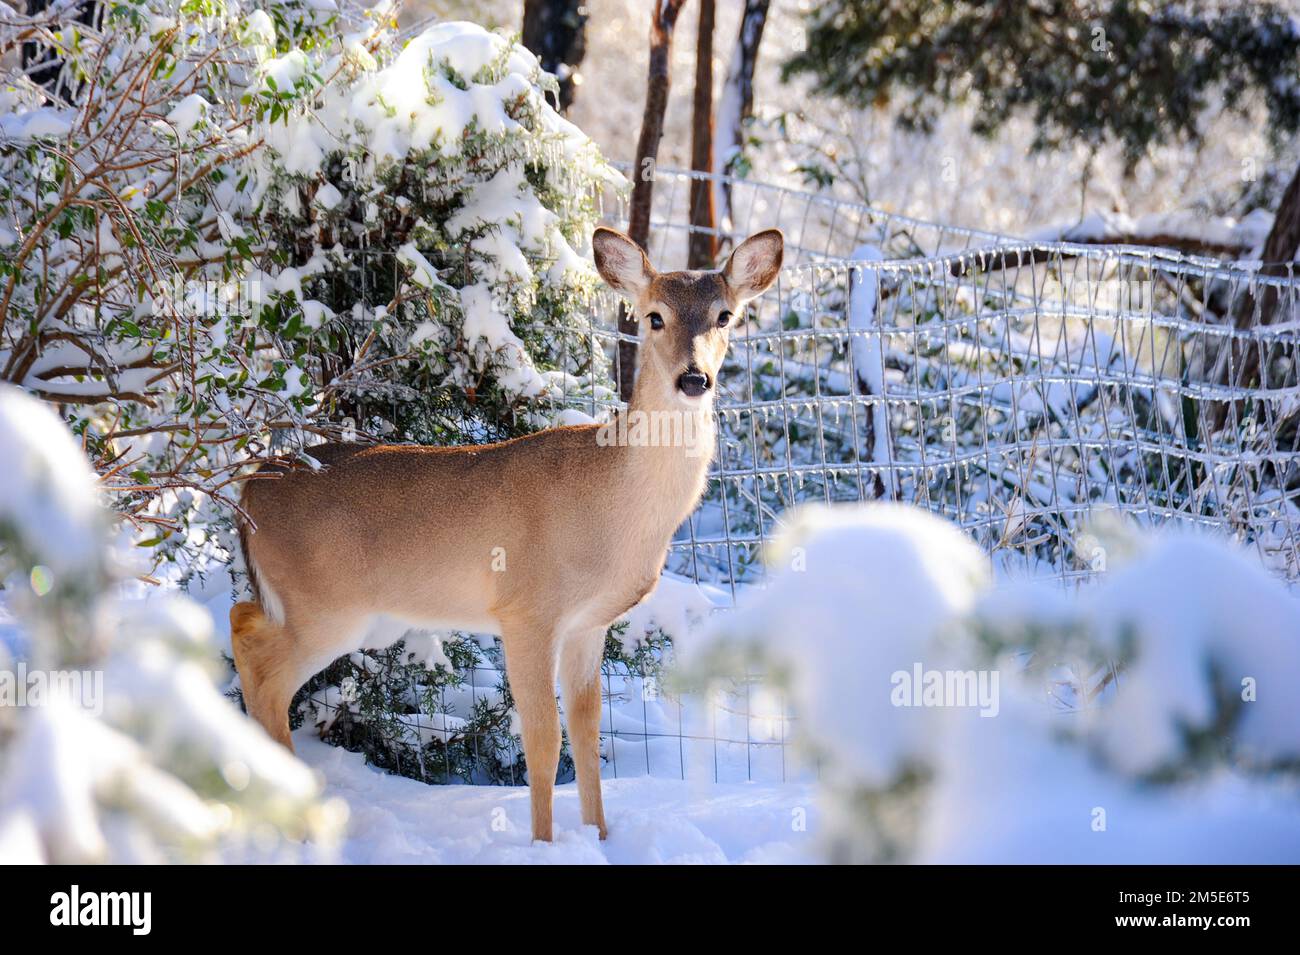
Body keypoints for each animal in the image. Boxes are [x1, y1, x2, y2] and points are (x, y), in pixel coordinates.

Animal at [229, 227, 783, 842]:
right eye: (654, 316)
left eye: (725, 315)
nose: (693, 378)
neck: (617, 504)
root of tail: (249, 491)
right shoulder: (526, 611)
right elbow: (544, 739)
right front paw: (544, 842)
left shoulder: (589, 624)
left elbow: (587, 733)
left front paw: (599, 836)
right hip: (325, 605)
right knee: (263, 670)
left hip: (354, 615)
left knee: (241, 621)